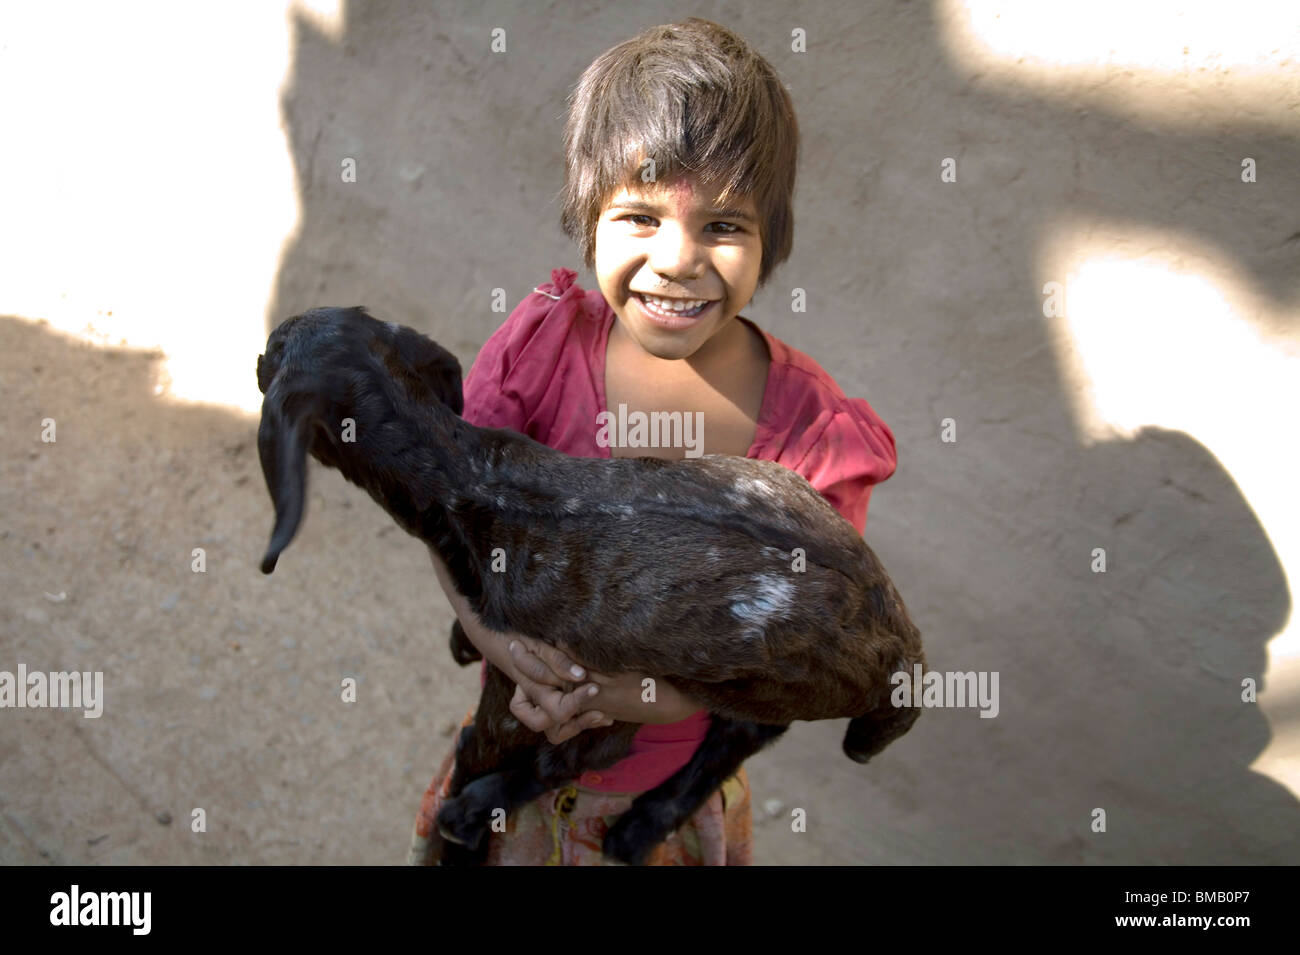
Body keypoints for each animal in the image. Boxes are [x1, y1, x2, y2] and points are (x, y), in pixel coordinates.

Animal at [256, 306, 925, 865]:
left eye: (267, 357)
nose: (257, 356)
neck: (468, 477)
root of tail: (899, 635)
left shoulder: (524, 689)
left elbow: (499, 755)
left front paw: (468, 820)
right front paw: (459, 640)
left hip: (760, 681)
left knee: (729, 733)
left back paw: (628, 824)